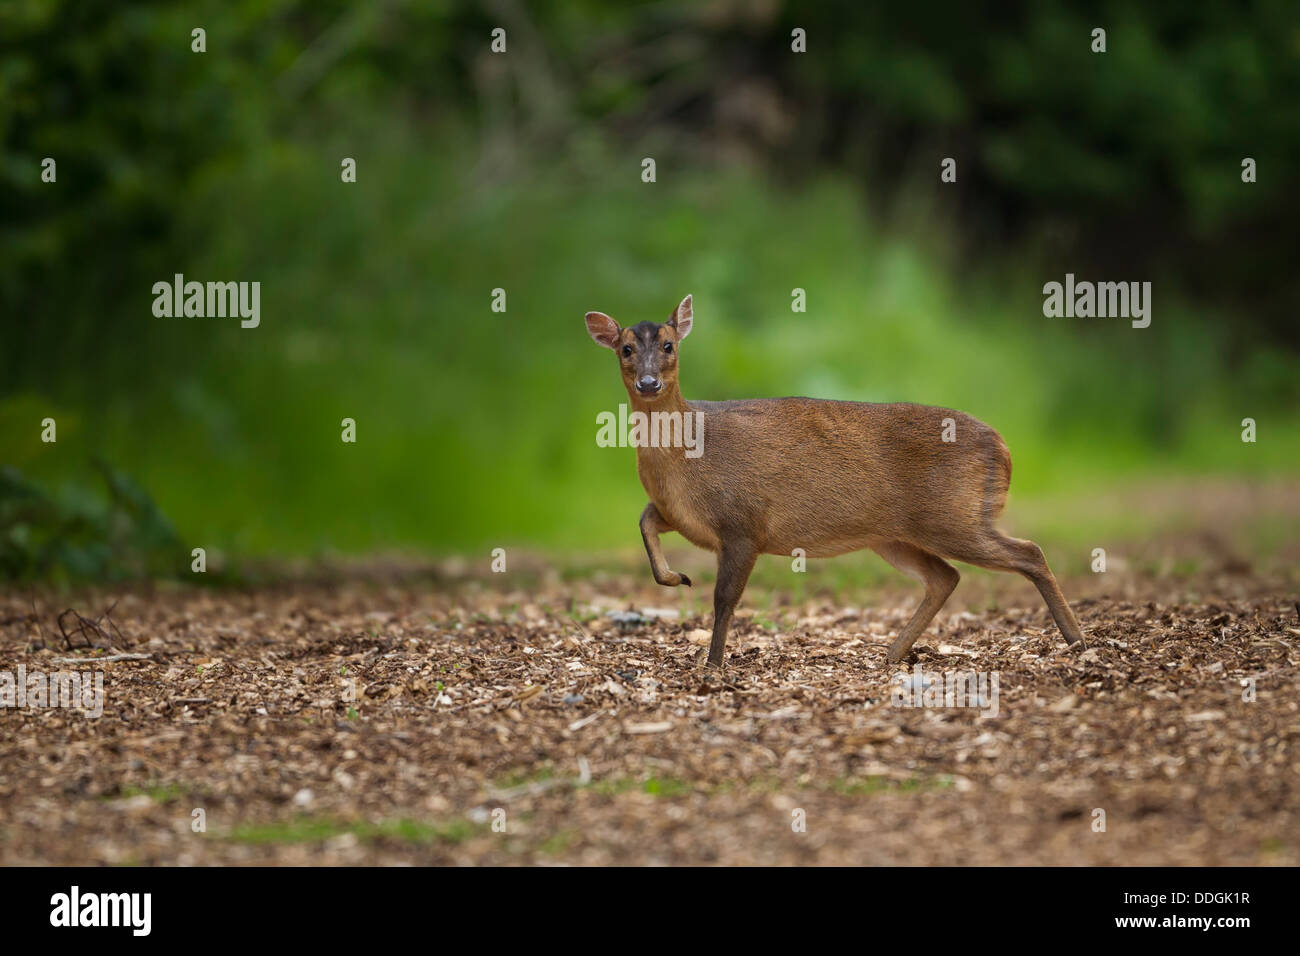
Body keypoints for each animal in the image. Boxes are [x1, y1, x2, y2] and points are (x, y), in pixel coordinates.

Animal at [584, 294, 1087, 669]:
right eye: (626, 349)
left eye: (669, 345)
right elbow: (645, 522)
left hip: (954, 515)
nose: (649, 383)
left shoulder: (745, 522)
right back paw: (892, 653)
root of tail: (1003, 449)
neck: (685, 457)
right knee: (946, 576)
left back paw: (1077, 640)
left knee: (1028, 552)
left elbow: (724, 598)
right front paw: (674, 577)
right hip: (894, 534)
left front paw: (712, 664)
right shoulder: (680, 514)